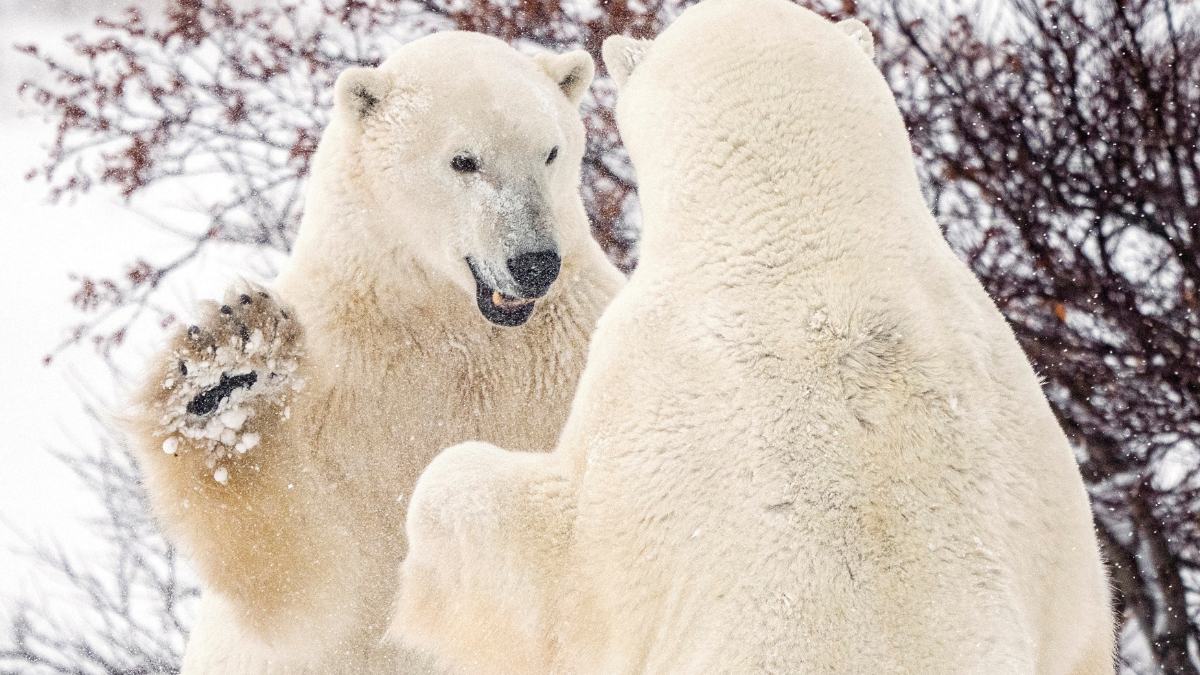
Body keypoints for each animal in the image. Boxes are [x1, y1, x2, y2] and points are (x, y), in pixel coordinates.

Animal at [130, 31, 624, 675]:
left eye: (551, 151)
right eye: (463, 160)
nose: (535, 263)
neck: (452, 326)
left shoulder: (578, 348)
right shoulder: (338, 383)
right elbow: (300, 574)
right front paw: (223, 376)